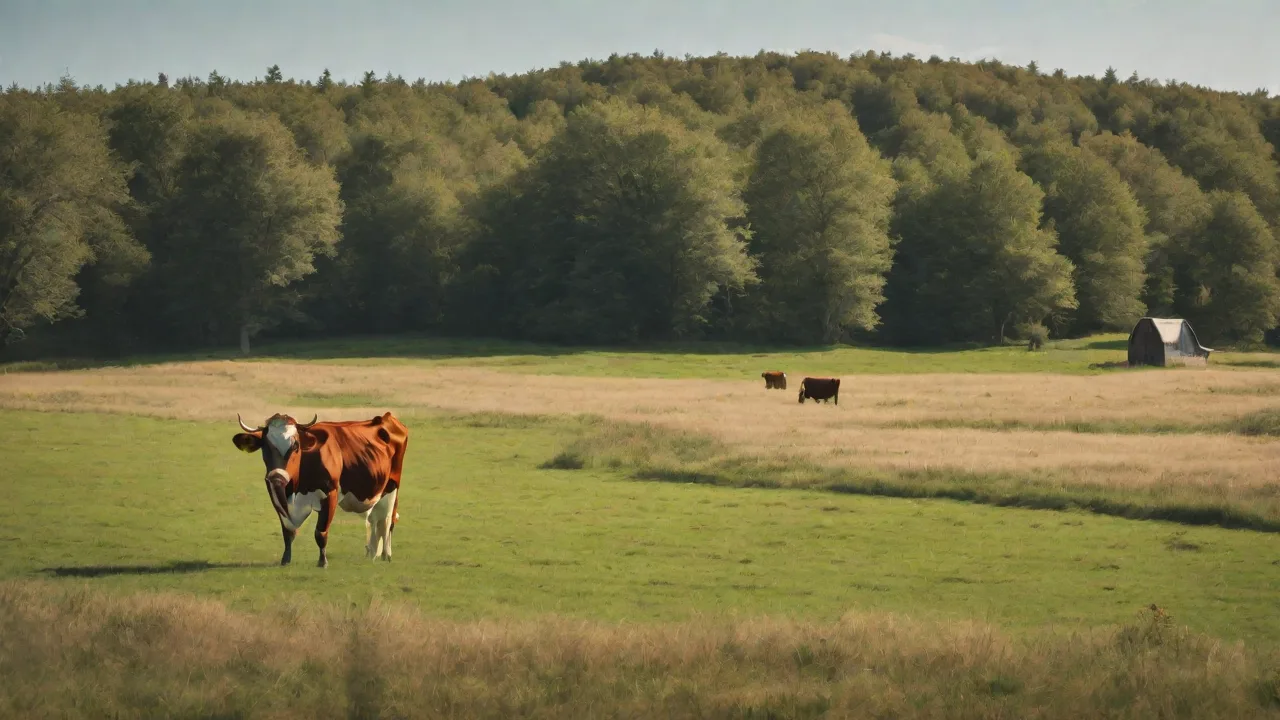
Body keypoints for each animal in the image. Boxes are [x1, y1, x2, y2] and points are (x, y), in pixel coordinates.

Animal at [232, 411, 409, 568]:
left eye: (296, 446)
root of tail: (386, 417)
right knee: (375, 520)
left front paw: (322, 562)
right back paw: (372, 553)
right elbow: (287, 531)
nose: (277, 476)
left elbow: (320, 532)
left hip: (392, 487)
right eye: (265, 447)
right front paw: (285, 559)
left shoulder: (330, 494)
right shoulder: (275, 494)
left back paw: (386, 554)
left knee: (387, 521)